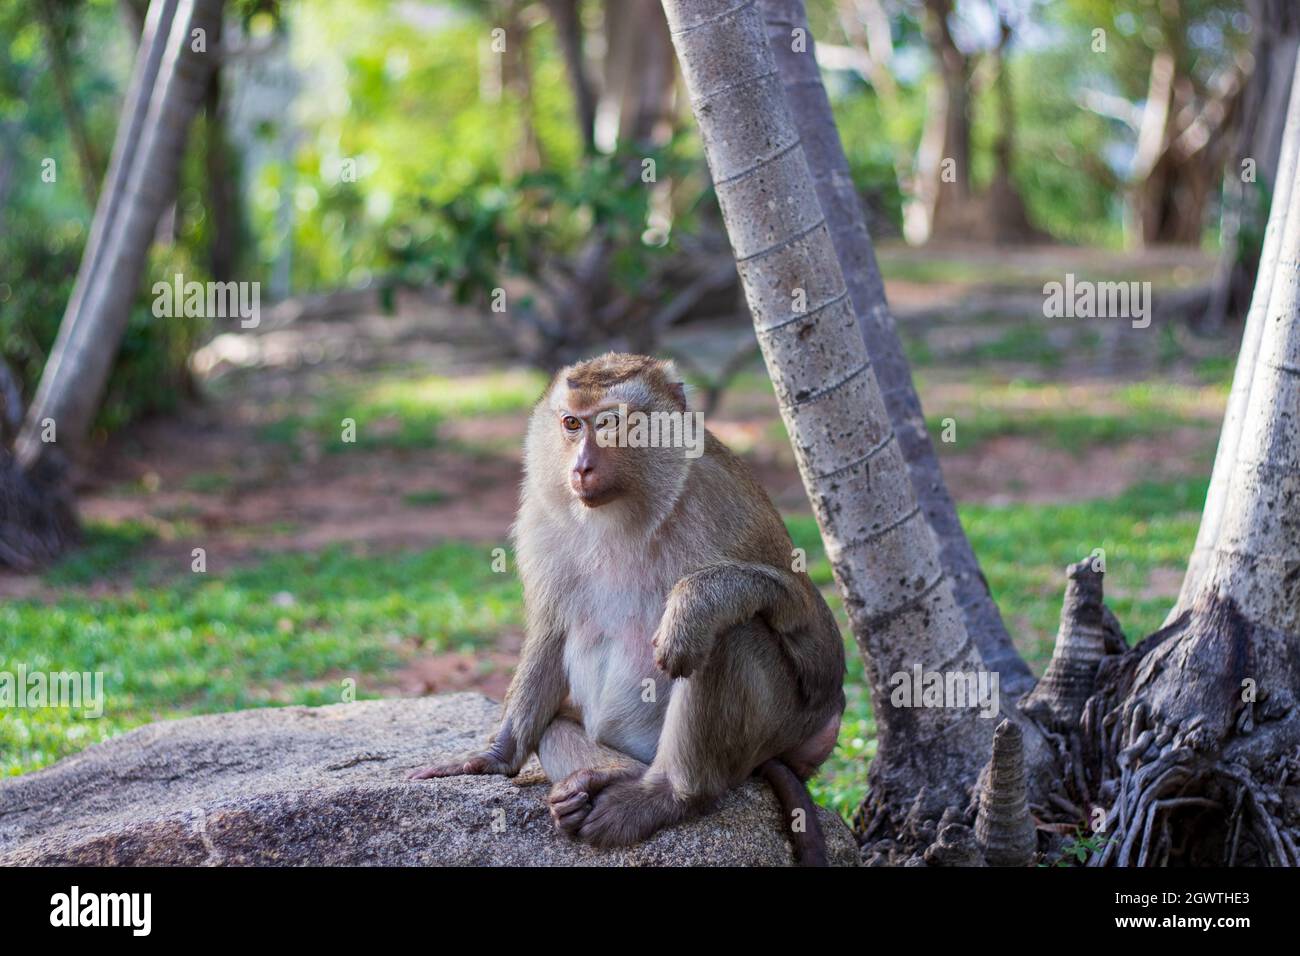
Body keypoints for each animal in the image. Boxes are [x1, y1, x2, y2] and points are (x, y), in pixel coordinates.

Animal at [409, 353, 845, 864]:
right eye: (572, 423)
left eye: (610, 424)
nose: (581, 467)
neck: (624, 509)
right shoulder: (540, 515)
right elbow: (551, 630)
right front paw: (494, 756)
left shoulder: (726, 501)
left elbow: (817, 645)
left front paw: (694, 603)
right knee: (556, 726)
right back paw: (602, 778)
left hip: (786, 726)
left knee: (727, 637)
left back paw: (667, 794)